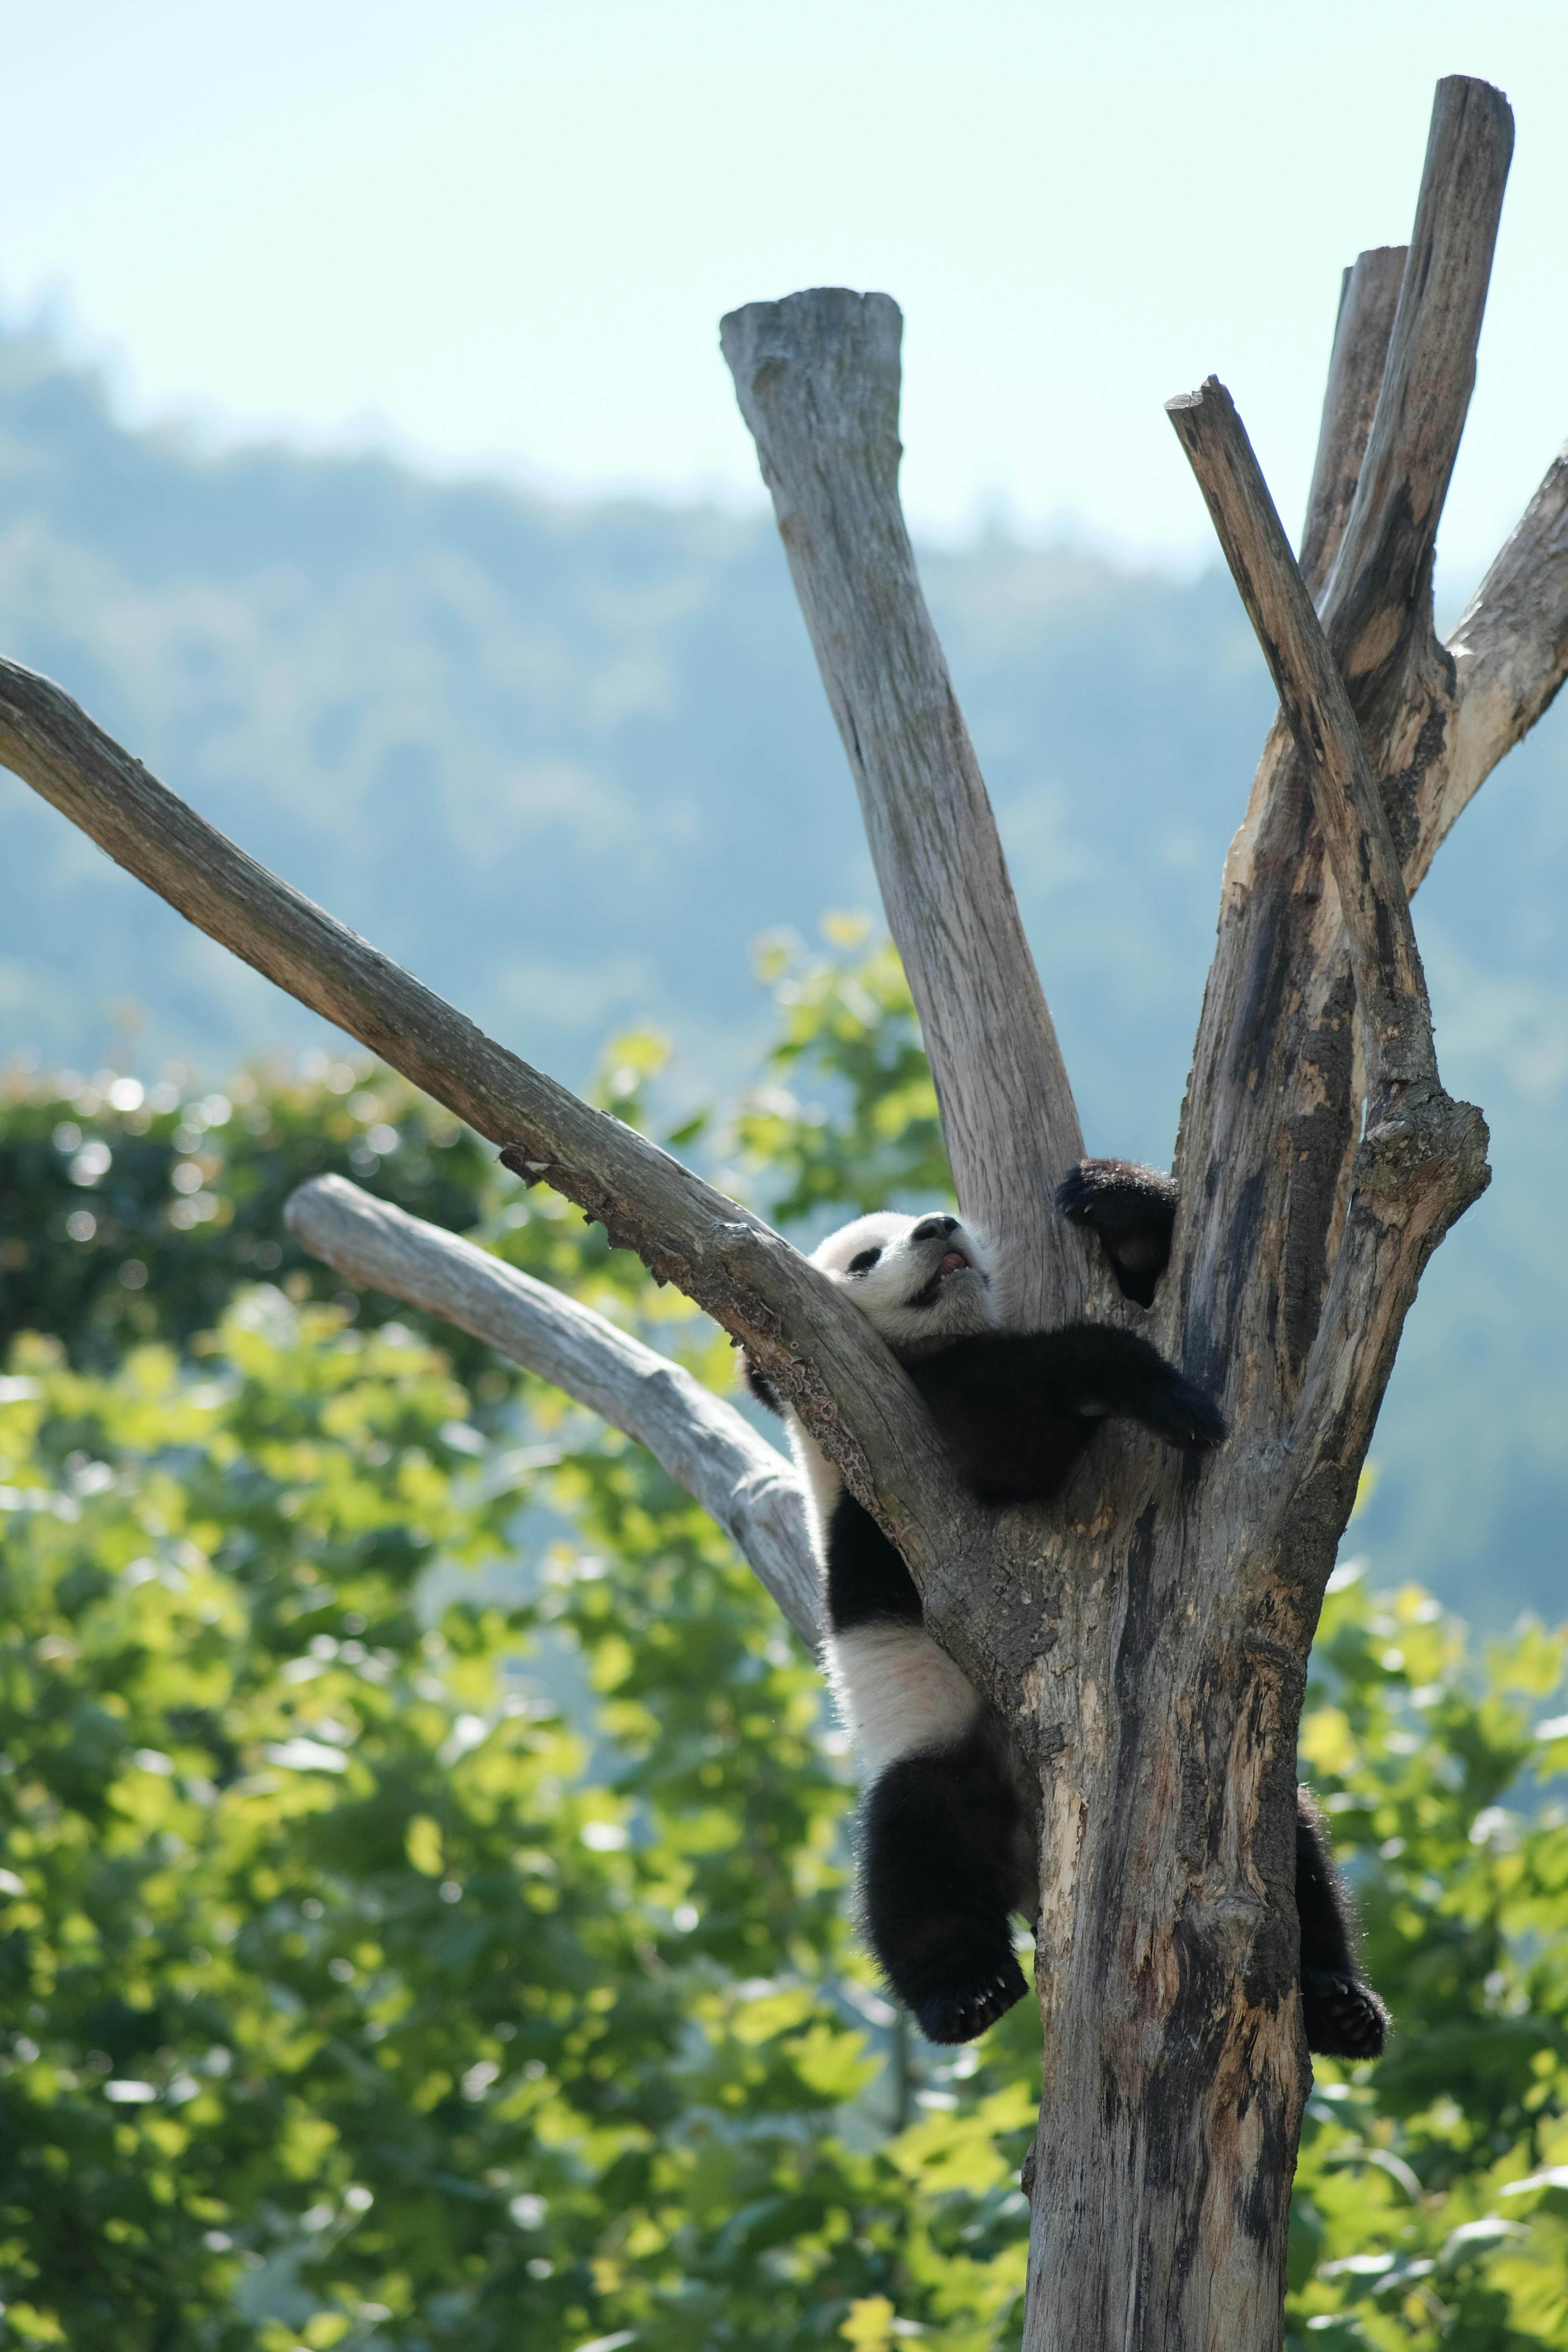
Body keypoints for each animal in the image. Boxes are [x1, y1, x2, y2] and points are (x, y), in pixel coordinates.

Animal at [746, 1198, 1389, 2061]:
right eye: (864, 1258)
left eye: (915, 1215)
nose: (937, 1227)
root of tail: (1032, 1869)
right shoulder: (884, 1439)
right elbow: (1011, 1435)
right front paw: (1154, 1391)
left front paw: (1121, 1207)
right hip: (940, 1743)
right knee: (917, 1849)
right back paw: (968, 1994)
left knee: (1292, 1849)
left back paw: (1339, 2007)